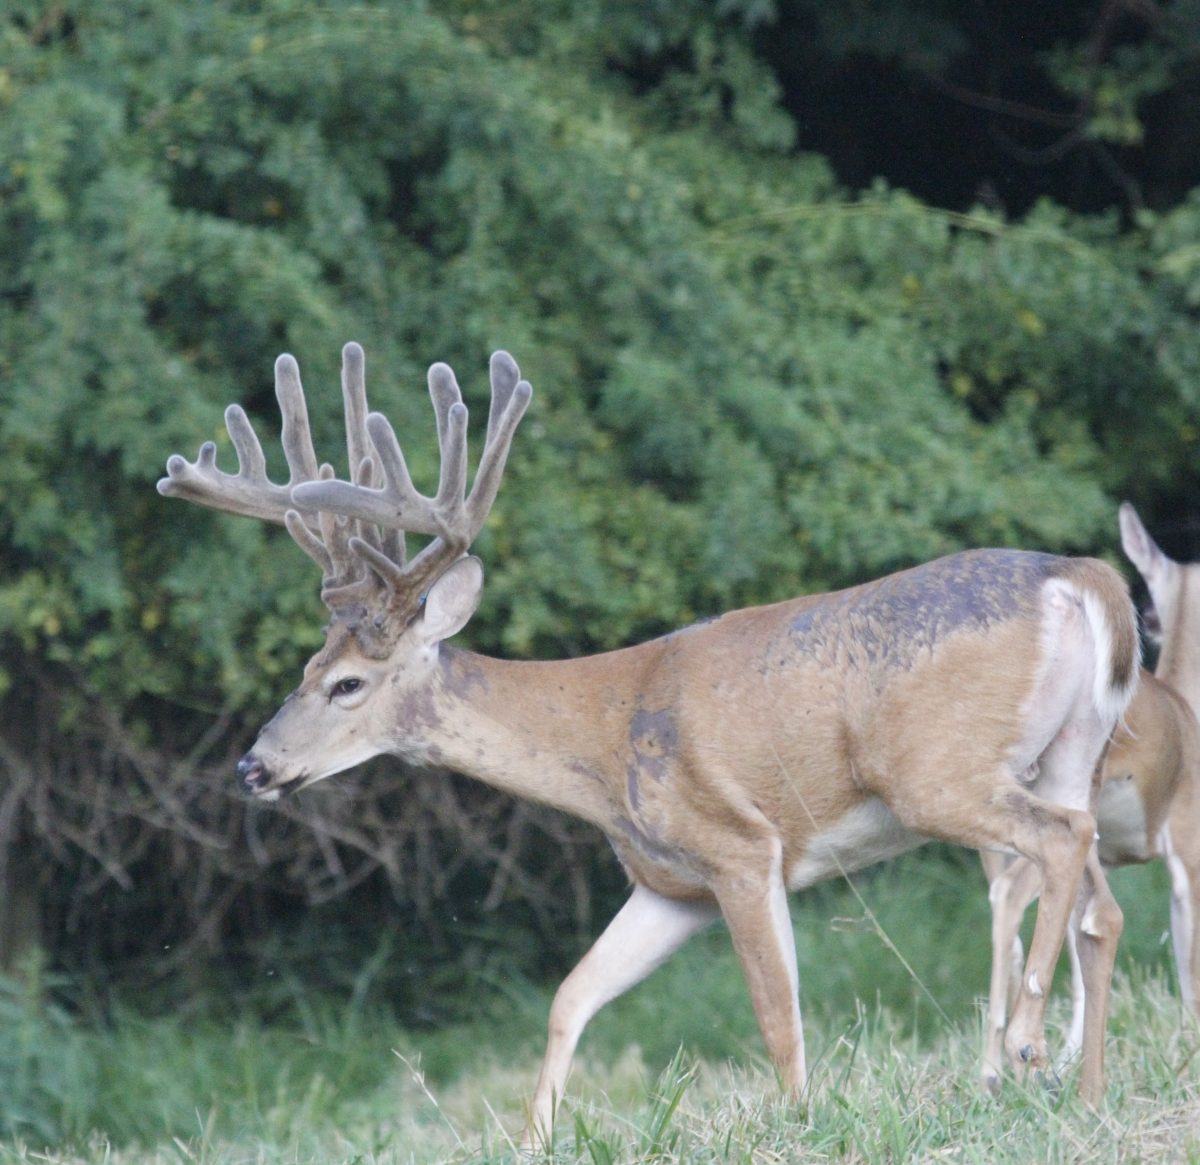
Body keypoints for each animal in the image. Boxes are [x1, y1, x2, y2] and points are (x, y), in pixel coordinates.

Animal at [157, 342, 1139, 1145]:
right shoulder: (671, 886)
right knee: (1099, 900)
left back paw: (1025, 1041)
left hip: (937, 771)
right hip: (1071, 752)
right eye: (306, 664)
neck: (599, 739)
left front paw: (803, 1121)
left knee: (1058, 844)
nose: (254, 766)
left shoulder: (742, 846)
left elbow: (777, 1013)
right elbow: (571, 994)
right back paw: (1087, 1093)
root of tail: (1082, 580)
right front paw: (537, 1138)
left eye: (346, 684)